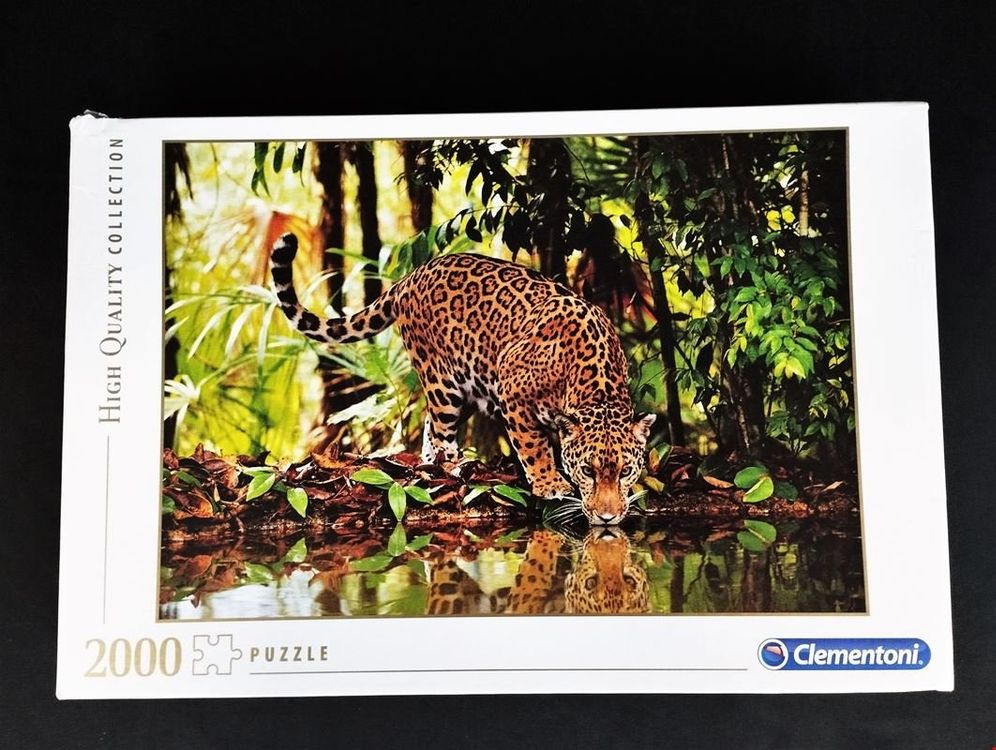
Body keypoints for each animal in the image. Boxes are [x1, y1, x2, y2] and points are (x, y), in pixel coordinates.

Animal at [271, 232, 656, 525]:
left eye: (625, 472)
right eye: (588, 471)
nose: (607, 518)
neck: (594, 385)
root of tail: (411, 276)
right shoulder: (512, 391)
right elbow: (533, 446)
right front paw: (550, 483)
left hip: (467, 386)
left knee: (430, 428)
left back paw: (431, 464)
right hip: (442, 381)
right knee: (441, 432)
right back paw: (450, 467)